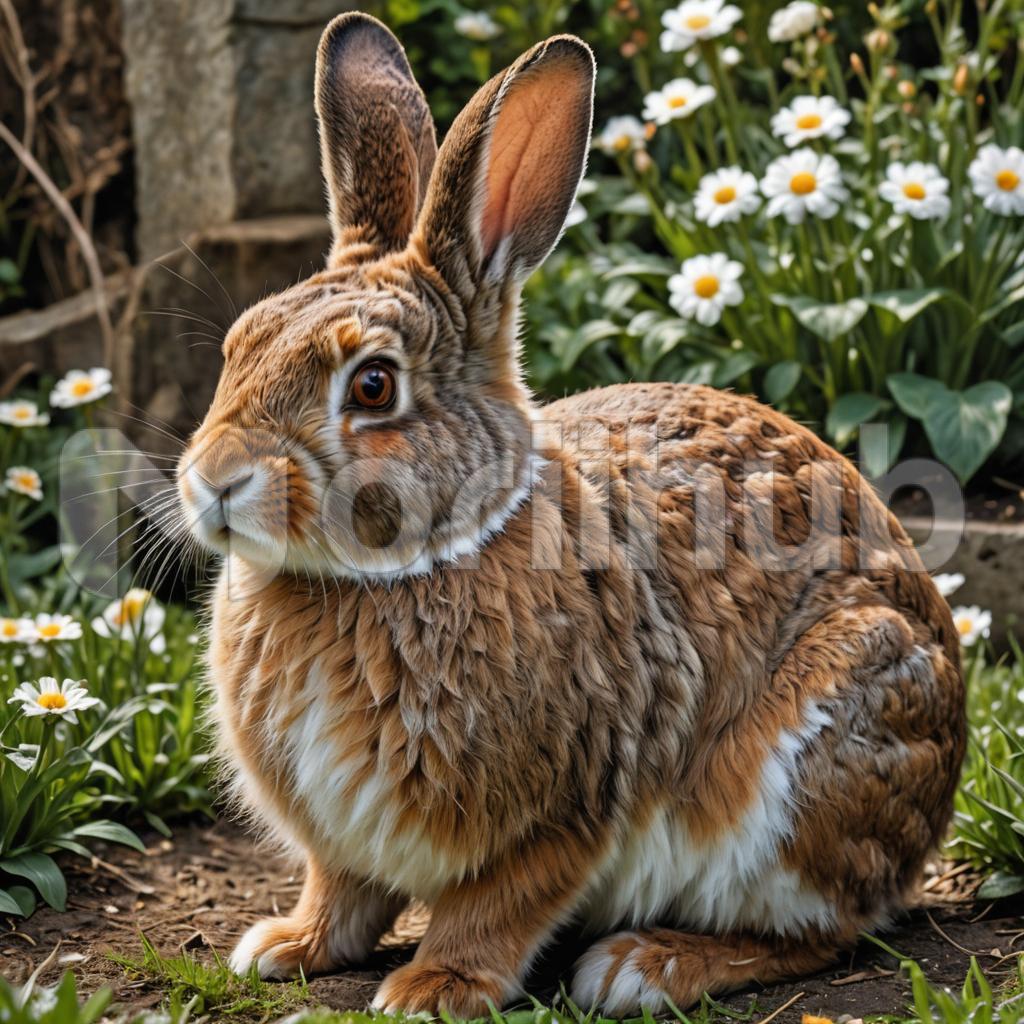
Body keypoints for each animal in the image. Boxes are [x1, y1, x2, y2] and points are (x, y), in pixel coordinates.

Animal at [175, 11, 966, 1018]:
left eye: (374, 385)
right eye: (239, 345)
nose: (214, 480)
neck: (399, 568)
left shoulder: (565, 809)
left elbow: (498, 908)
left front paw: (431, 987)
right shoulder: (342, 839)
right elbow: (342, 890)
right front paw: (285, 946)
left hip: (812, 765)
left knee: (824, 929)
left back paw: (646, 966)